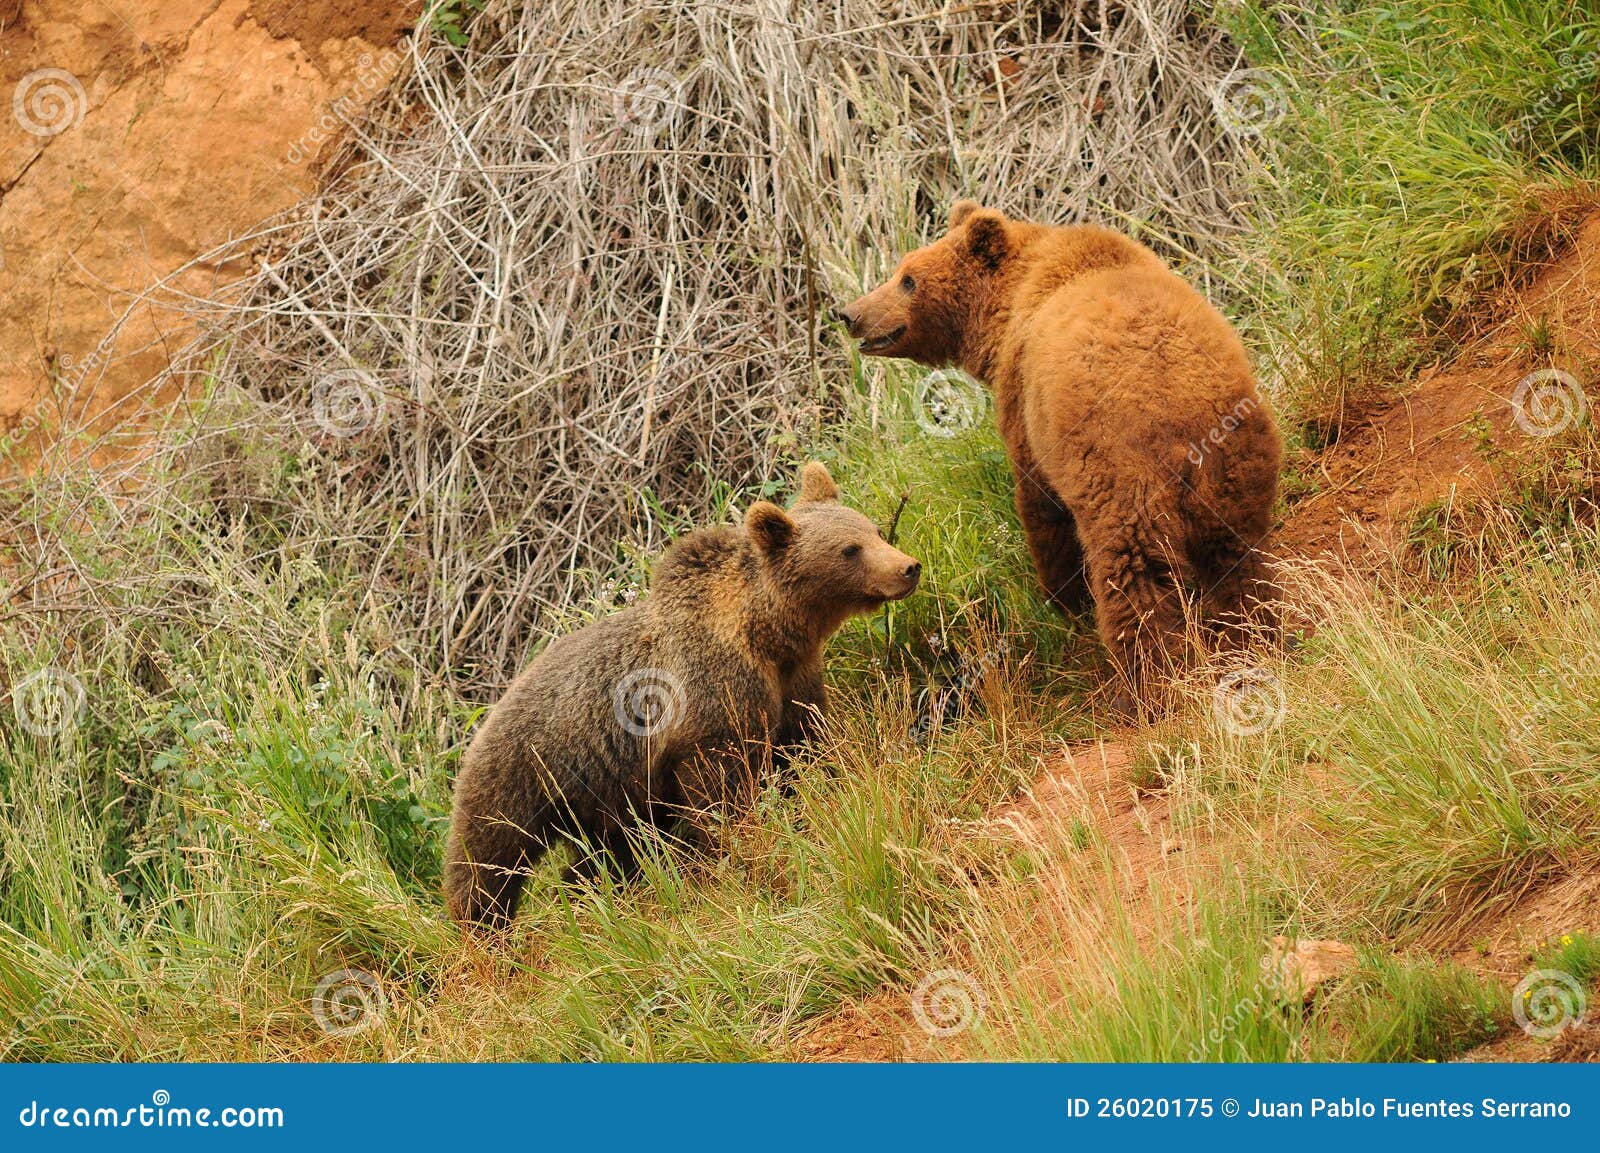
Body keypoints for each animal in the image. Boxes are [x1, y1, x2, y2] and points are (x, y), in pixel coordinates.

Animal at [444, 462, 921, 929]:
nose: (909, 567)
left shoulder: (794, 683)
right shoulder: (710, 701)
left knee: (608, 853)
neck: (767, 637)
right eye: (849, 549)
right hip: (526, 770)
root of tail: (487, 711)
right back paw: (482, 924)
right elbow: (721, 791)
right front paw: (733, 849)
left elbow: (807, 749)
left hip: (606, 795)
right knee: (488, 854)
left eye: (875, 530)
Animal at [838, 201, 1281, 711]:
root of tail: (1180, 409)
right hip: (1239, 462)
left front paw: (1061, 599)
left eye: (908, 279)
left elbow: (1040, 505)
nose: (848, 313)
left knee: (1133, 570)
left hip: (1122, 472)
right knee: (1238, 553)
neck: (1009, 304)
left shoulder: (1028, 406)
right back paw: (1253, 632)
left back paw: (1145, 682)